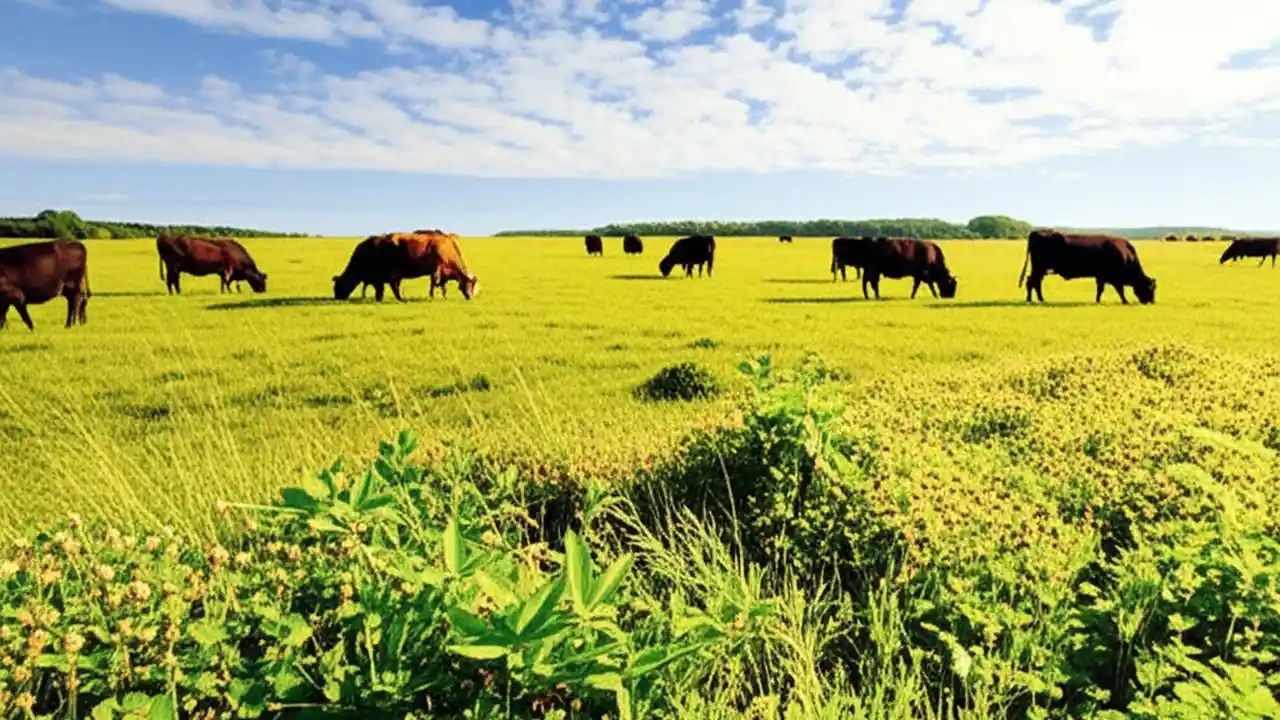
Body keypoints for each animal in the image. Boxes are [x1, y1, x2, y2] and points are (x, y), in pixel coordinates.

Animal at [1018, 230, 1156, 304]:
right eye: (1150, 287)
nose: (1152, 302)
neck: (1125, 255)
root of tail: (1036, 232)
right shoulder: (1113, 278)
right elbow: (1120, 290)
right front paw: (1125, 301)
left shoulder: (1101, 277)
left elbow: (1100, 290)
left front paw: (1097, 301)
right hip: (1039, 268)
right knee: (1031, 282)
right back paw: (1032, 300)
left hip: (1040, 270)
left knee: (1035, 283)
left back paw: (1039, 299)